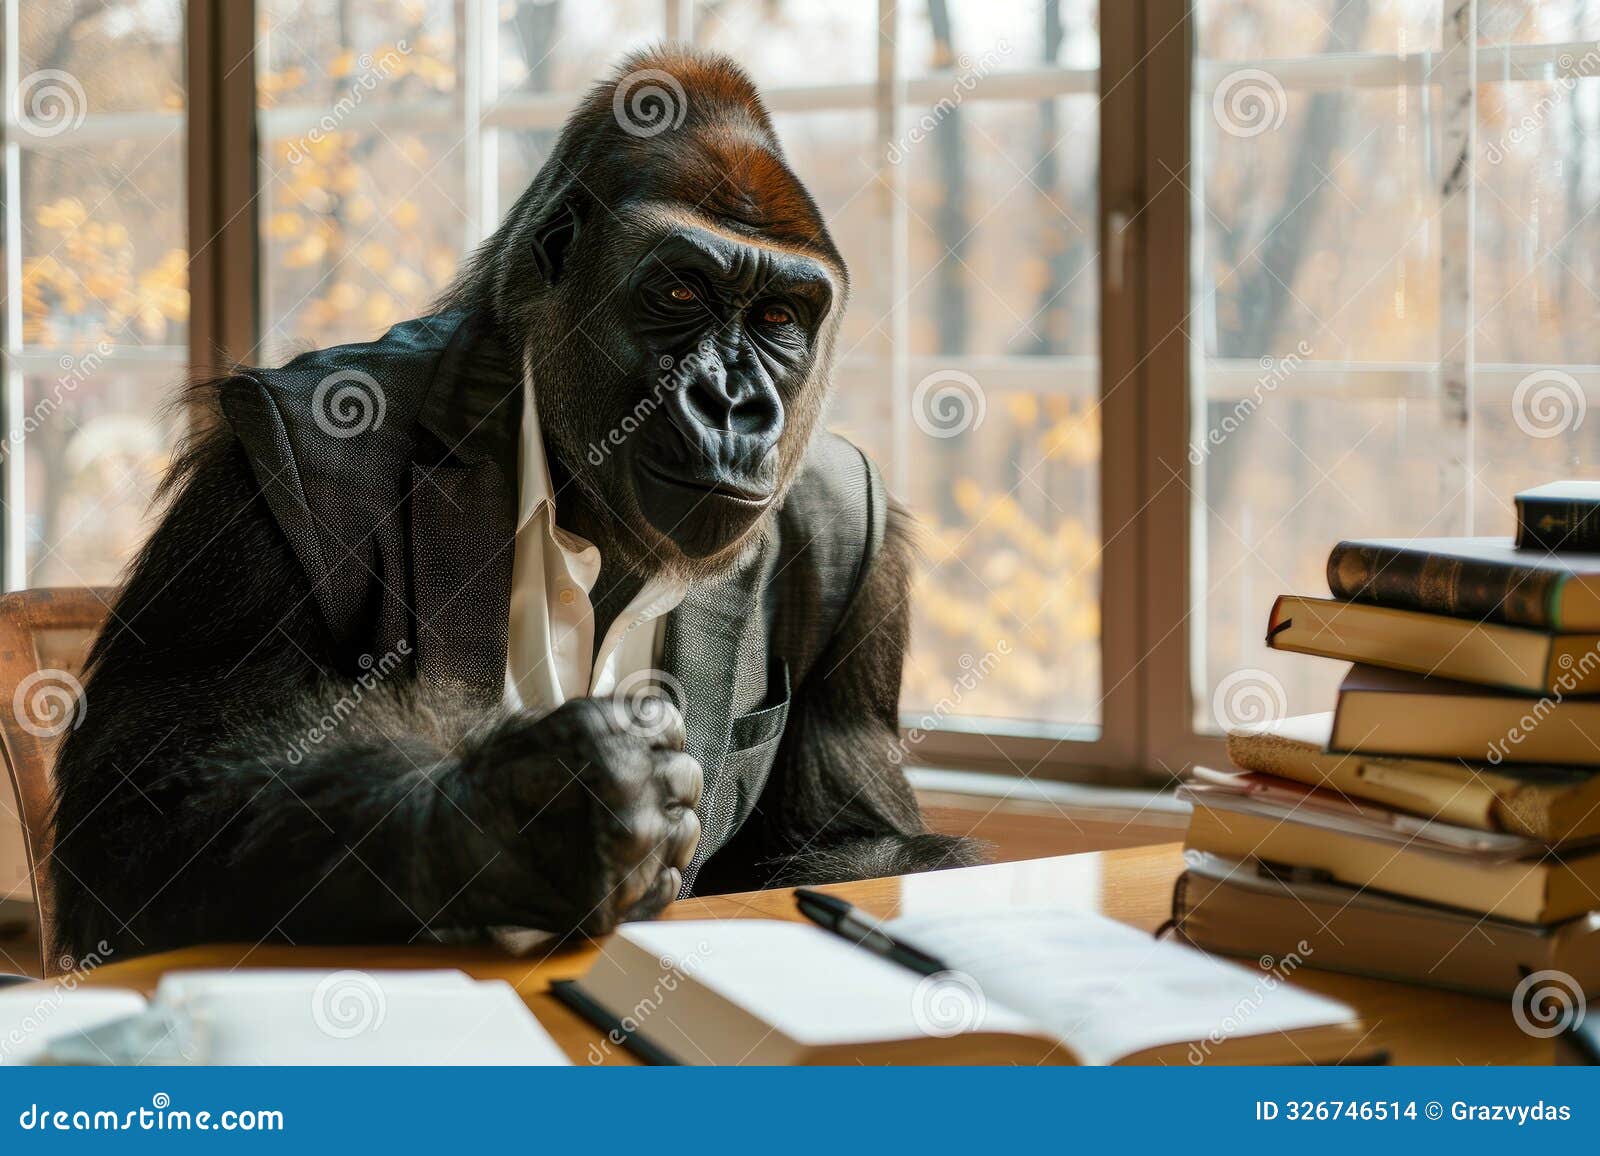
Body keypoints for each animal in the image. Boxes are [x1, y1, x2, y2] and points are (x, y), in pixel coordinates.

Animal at [48, 46, 984, 962]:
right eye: (681, 292)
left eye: (780, 317)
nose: (734, 404)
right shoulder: (263, 483)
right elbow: (144, 809)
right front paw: (518, 824)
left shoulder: (867, 540)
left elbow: (864, 844)